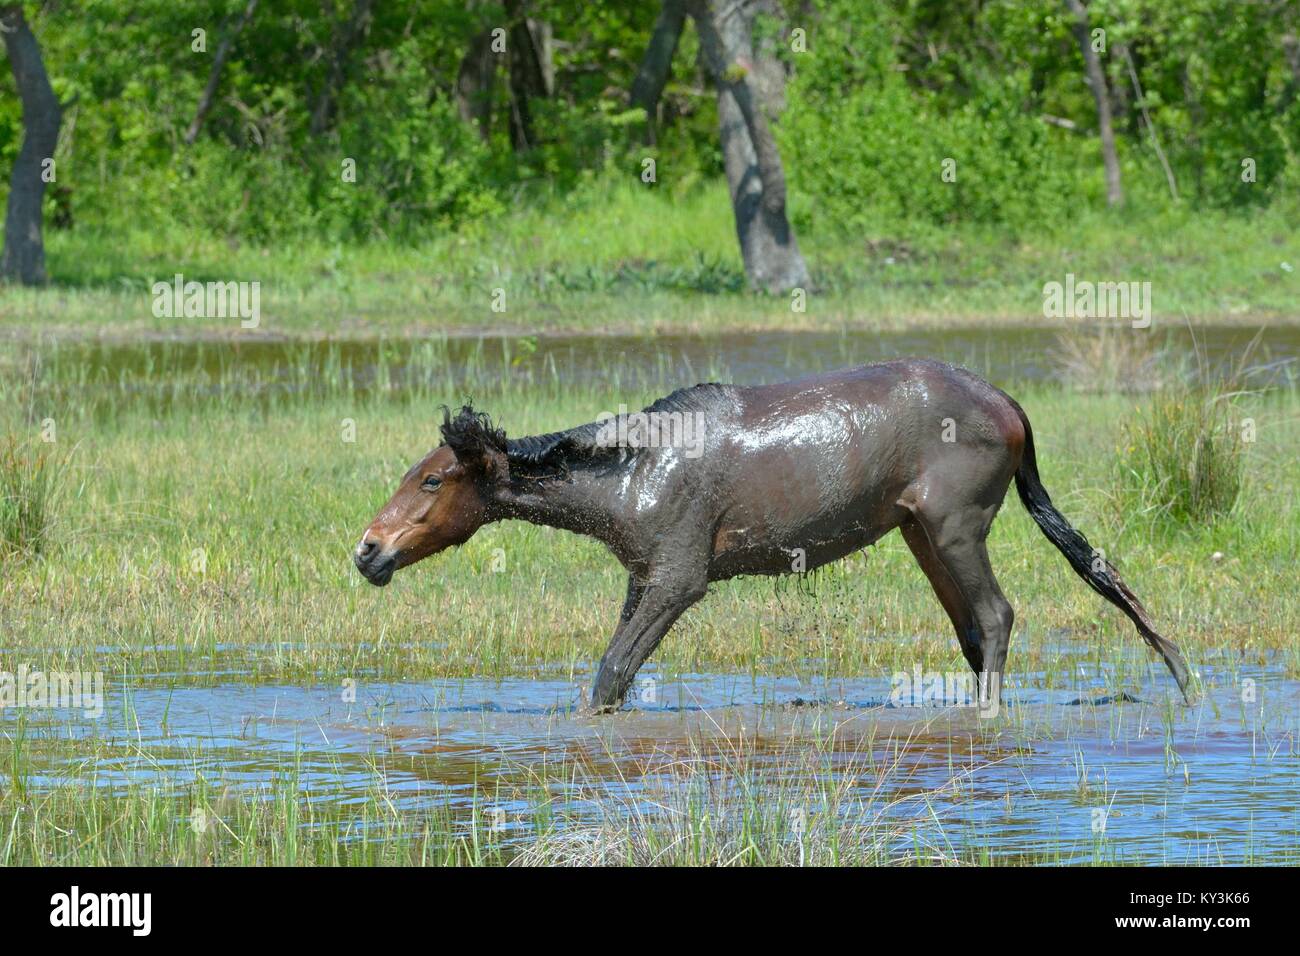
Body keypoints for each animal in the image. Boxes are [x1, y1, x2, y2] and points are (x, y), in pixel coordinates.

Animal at [354, 359, 1192, 713]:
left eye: (432, 480)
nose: (368, 548)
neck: (630, 473)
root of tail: (1012, 406)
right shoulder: (642, 578)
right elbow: (611, 675)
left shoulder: (679, 581)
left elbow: (610, 676)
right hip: (921, 535)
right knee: (975, 631)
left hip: (957, 531)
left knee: (997, 616)